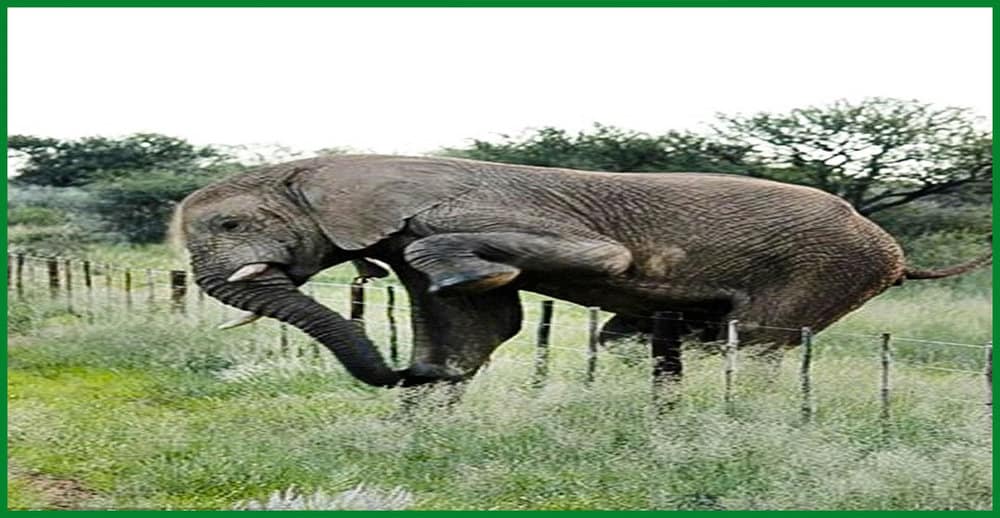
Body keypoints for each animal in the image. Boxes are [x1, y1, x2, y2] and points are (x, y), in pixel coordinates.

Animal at [173, 154, 991, 388]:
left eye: (232, 226)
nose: (407, 372)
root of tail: (898, 250)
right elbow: (472, 335)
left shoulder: (451, 217)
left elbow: (606, 258)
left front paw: (465, 277)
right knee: (637, 341)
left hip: (827, 268)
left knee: (758, 342)